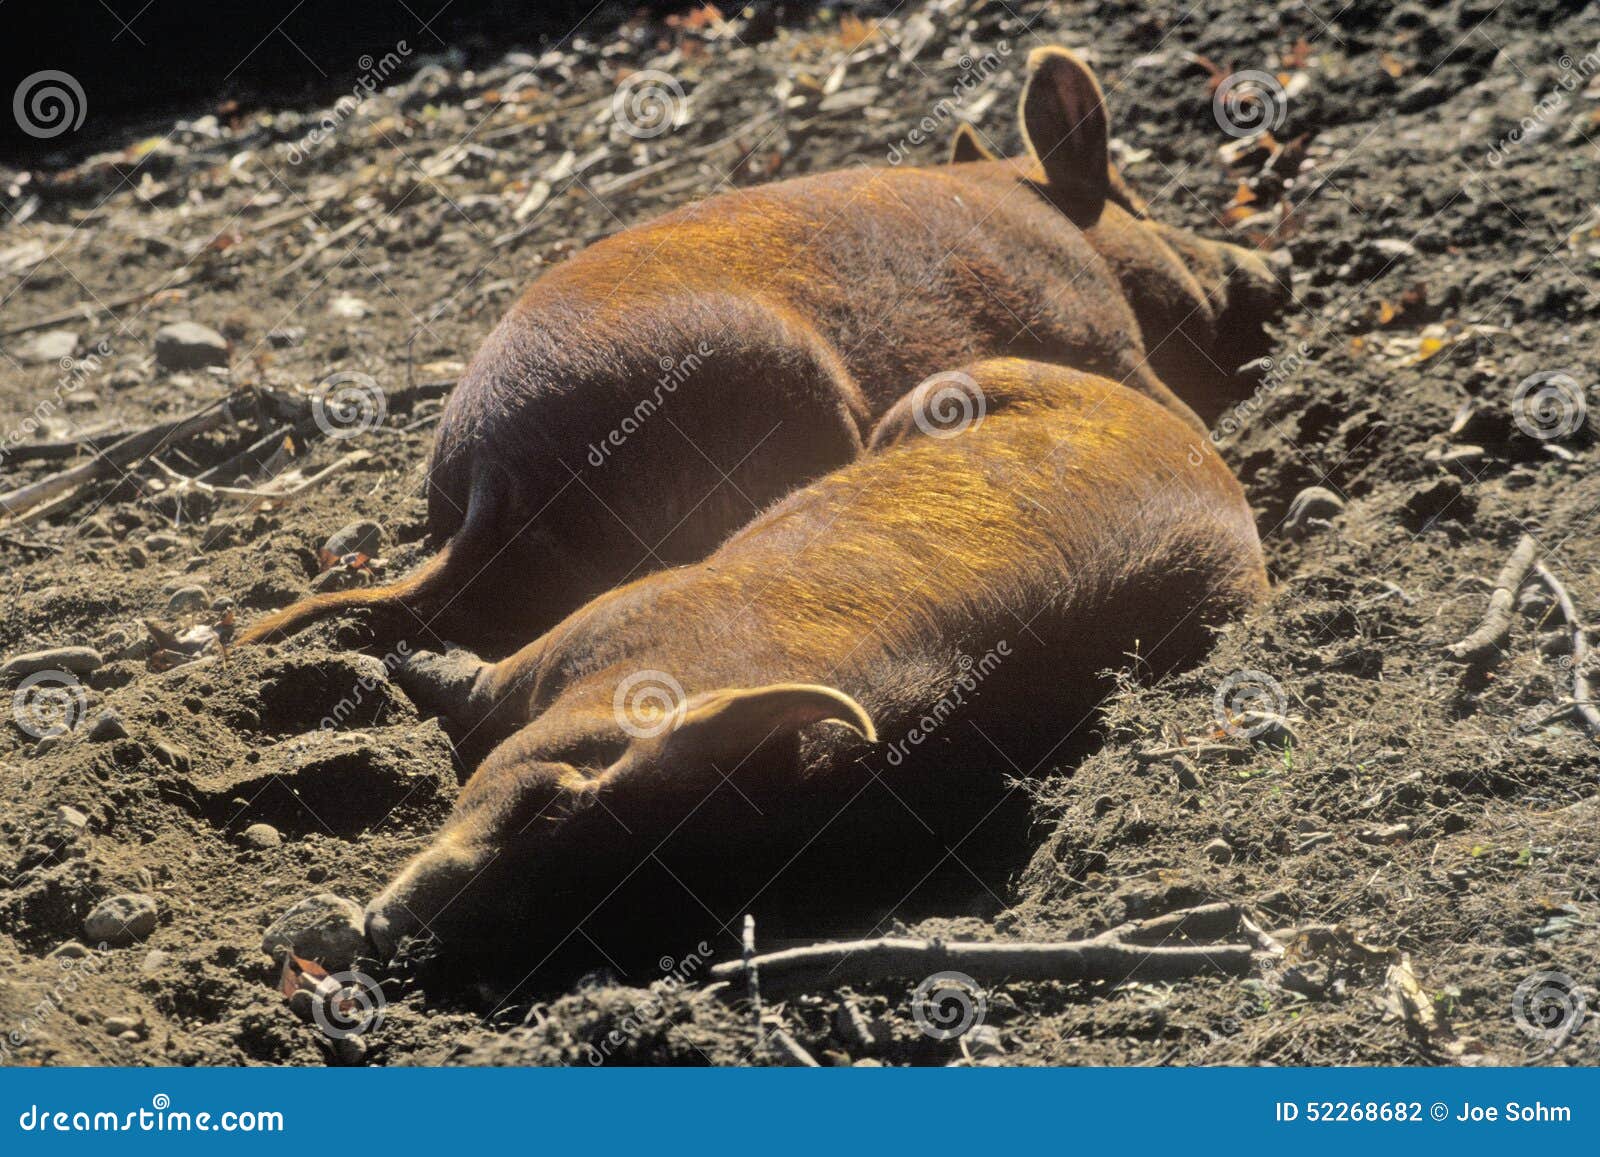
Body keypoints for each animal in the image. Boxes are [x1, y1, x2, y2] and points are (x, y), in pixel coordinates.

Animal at [238, 47, 1289, 654]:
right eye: (1143, 205)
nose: (1272, 268)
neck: (1067, 231)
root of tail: (494, 463)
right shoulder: (1103, 339)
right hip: (784, 397)